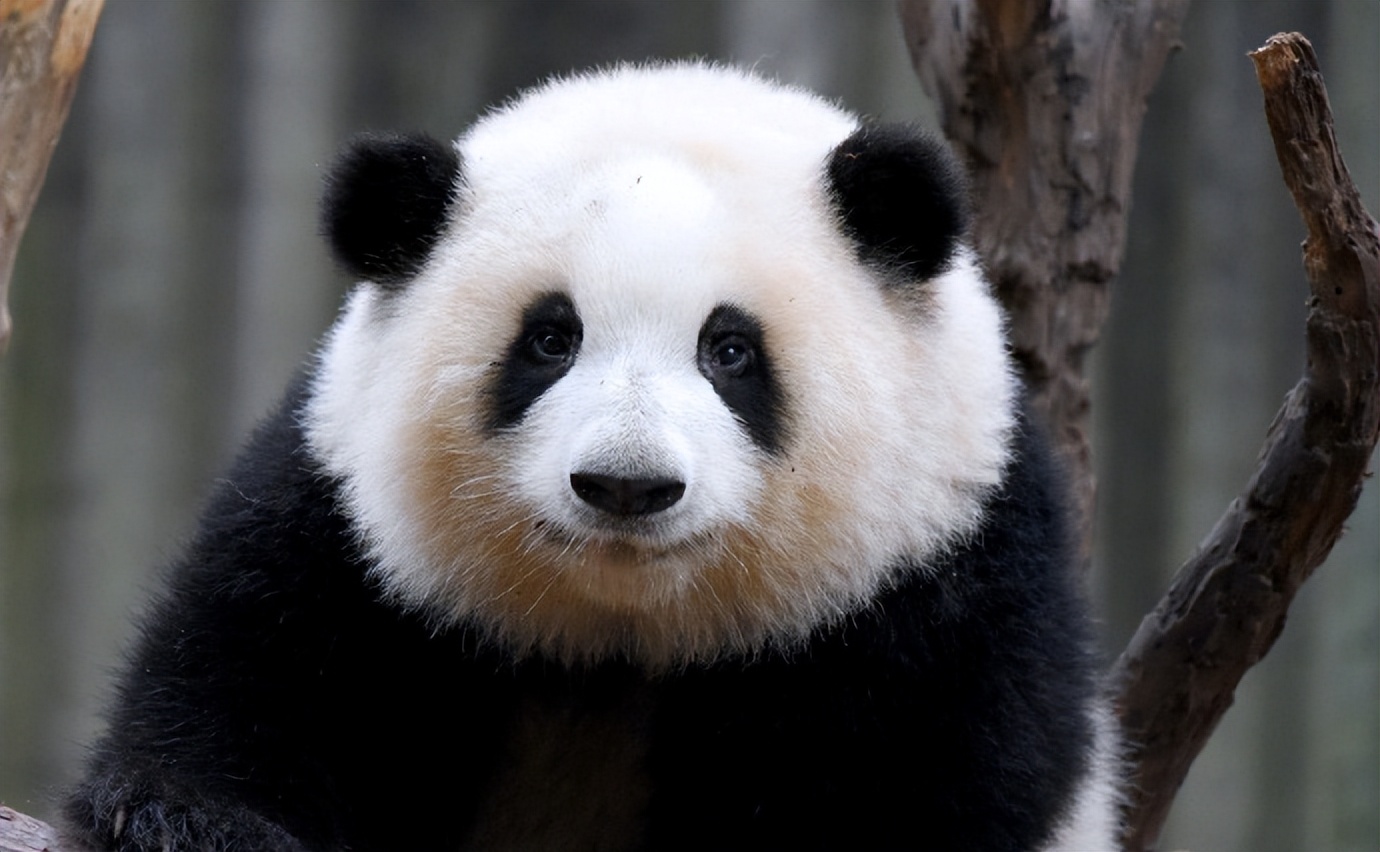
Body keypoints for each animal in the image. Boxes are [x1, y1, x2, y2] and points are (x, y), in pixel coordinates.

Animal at [63, 63, 1121, 852]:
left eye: (729, 350)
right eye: (549, 340)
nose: (627, 484)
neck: (620, 639)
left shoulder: (942, 577)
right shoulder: (344, 529)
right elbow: (241, 679)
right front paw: (191, 826)